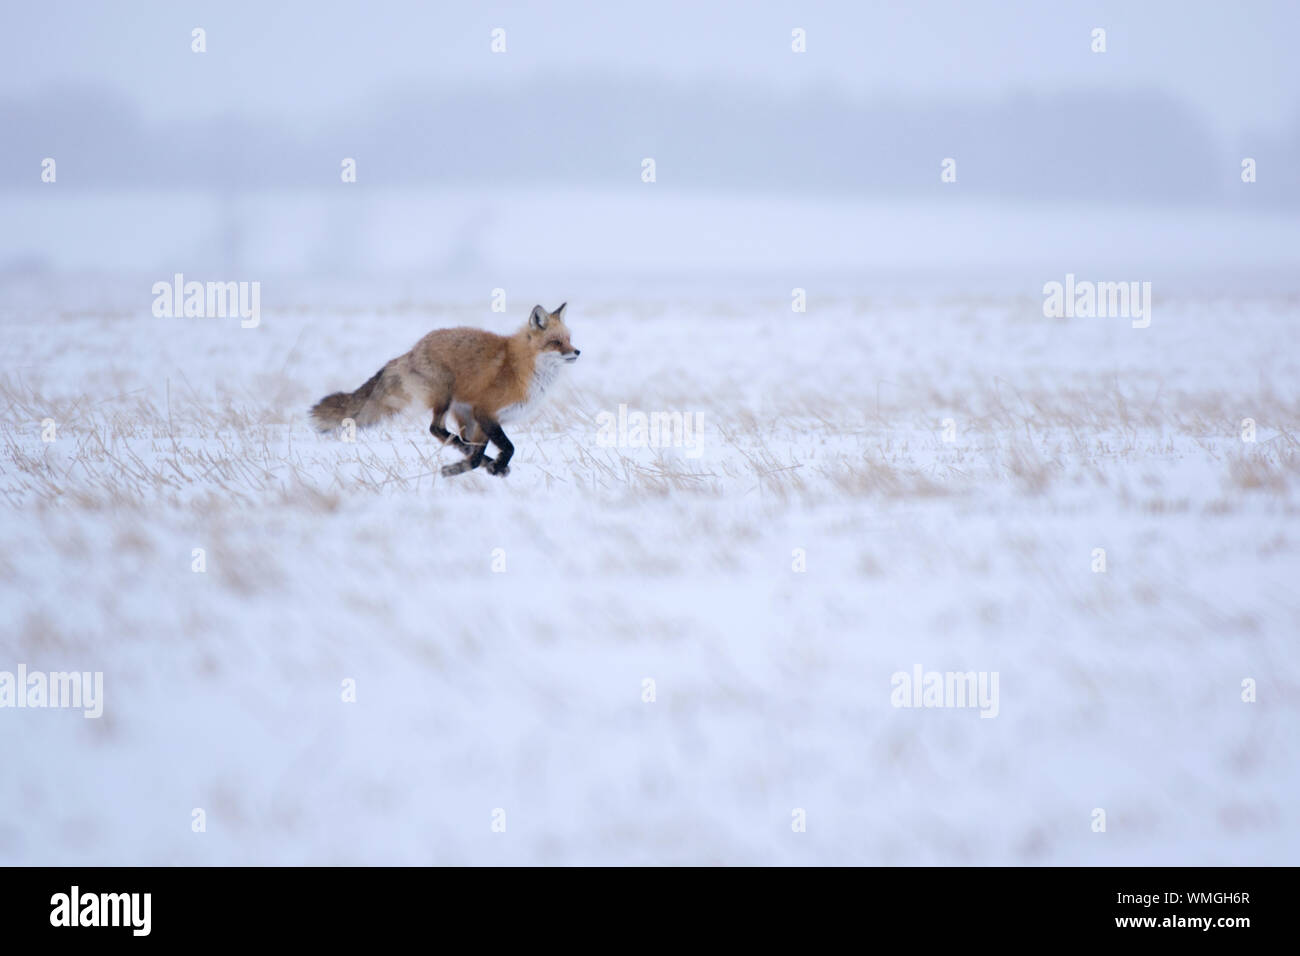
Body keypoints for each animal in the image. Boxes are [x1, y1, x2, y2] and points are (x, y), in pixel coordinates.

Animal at [310, 303, 579, 477]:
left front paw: (488, 466)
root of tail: (411, 351)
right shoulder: (485, 411)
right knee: (436, 429)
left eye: (569, 339)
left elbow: (481, 452)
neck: (521, 366)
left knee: (458, 438)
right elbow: (508, 447)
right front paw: (479, 467)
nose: (577, 352)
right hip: (445, 396)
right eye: (556, 342)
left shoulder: (483, 419)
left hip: (461, 412)